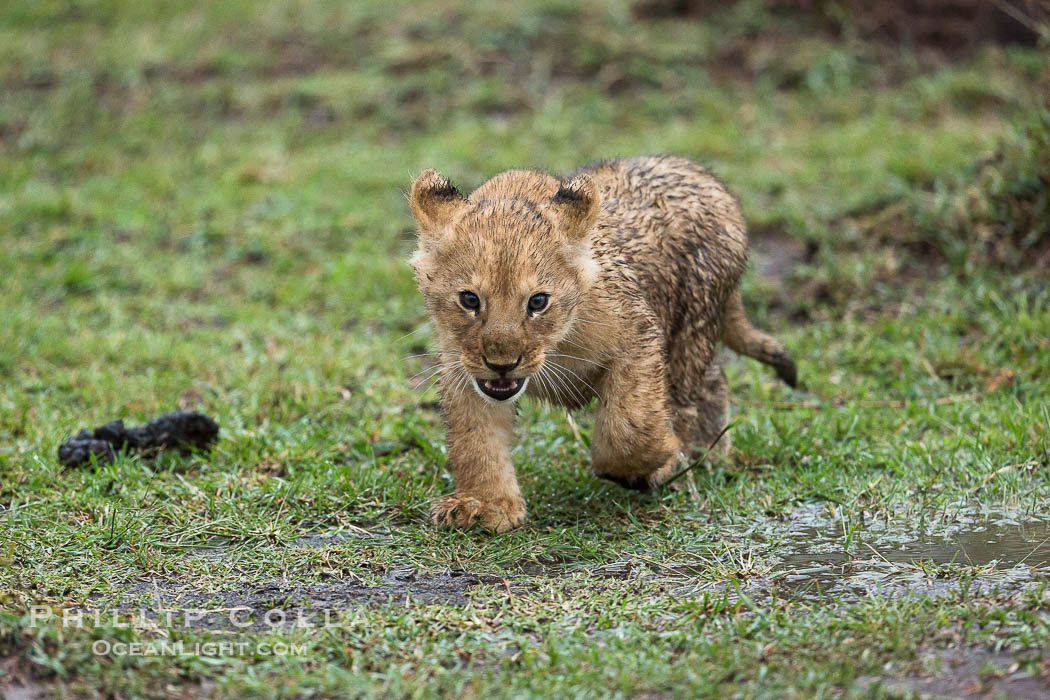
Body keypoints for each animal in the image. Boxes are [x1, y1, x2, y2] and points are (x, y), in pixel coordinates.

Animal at [408, 155, 797, 532]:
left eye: (538, 302)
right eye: (470, 300)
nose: (502, 364)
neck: (557, 344)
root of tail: (709, 180)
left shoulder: (639, 334)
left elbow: (628, 425)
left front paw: (652, 463)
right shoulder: (465, 367)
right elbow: (475, 439)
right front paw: (485, 504)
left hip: (691, 326)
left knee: (689, 394)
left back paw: (692, 456)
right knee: (714, 378)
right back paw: (707, 453)